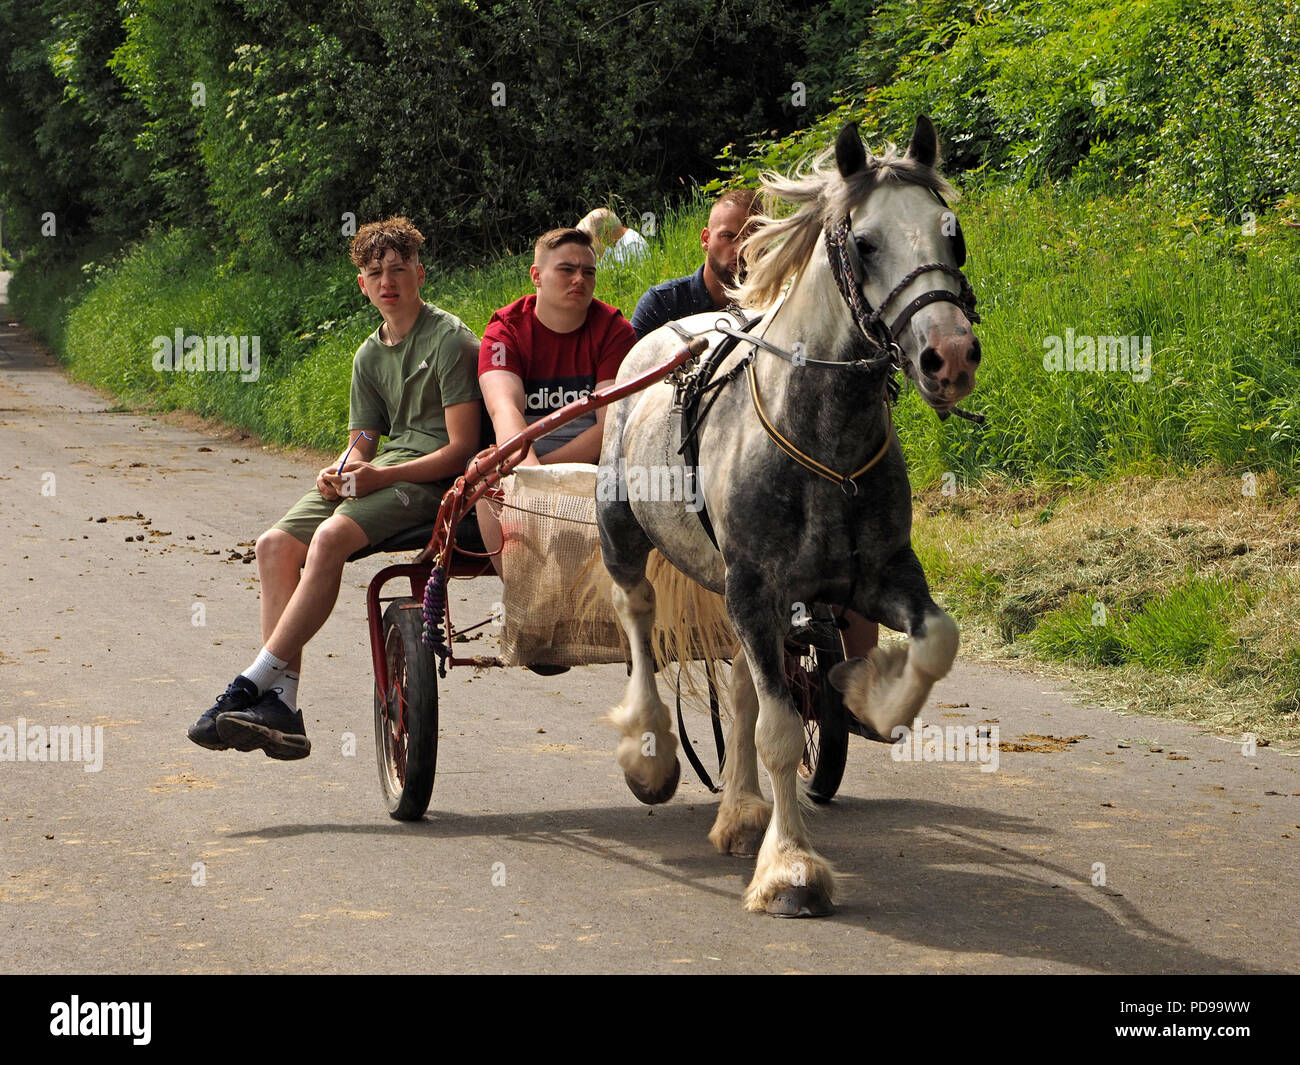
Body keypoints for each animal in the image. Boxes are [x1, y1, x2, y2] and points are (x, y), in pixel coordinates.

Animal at [596, 117, 981, 916]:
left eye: (951, 234)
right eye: (865, 242)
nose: (951, 355)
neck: (821, 433)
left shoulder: (881, 573)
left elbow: (936, 641)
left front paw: (871, 689)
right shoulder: (754, 587)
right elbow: (778, 730)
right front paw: (790, 868)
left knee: (742, 687)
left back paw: (743, 809)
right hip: (626, 535)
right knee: (638, 617)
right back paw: (650, 751)